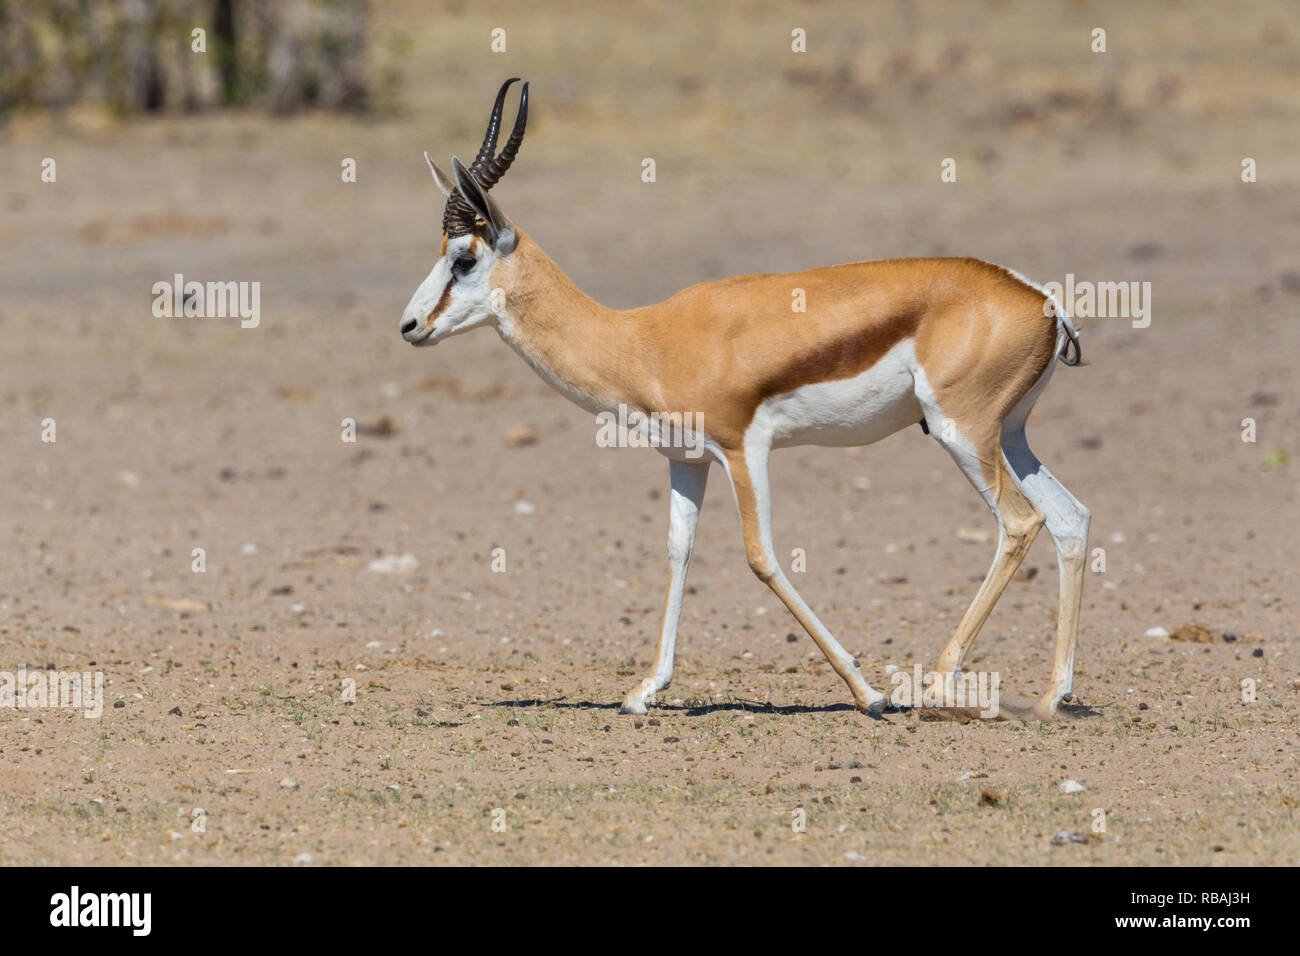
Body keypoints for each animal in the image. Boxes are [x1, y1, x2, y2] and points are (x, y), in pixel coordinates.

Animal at [400, 79, 1090, 721]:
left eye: (464, 258)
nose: (409, 326)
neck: (643, 339)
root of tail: (1042, 302)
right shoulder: (687, 461)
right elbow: (678, 551)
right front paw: (645, 691)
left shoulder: (743, 449)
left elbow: (761, 557)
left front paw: (868, 693)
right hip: (1007, 436)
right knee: (1070, 518)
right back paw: (1052, 698)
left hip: (959, 433)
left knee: (1020, 522)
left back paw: (935, 686)